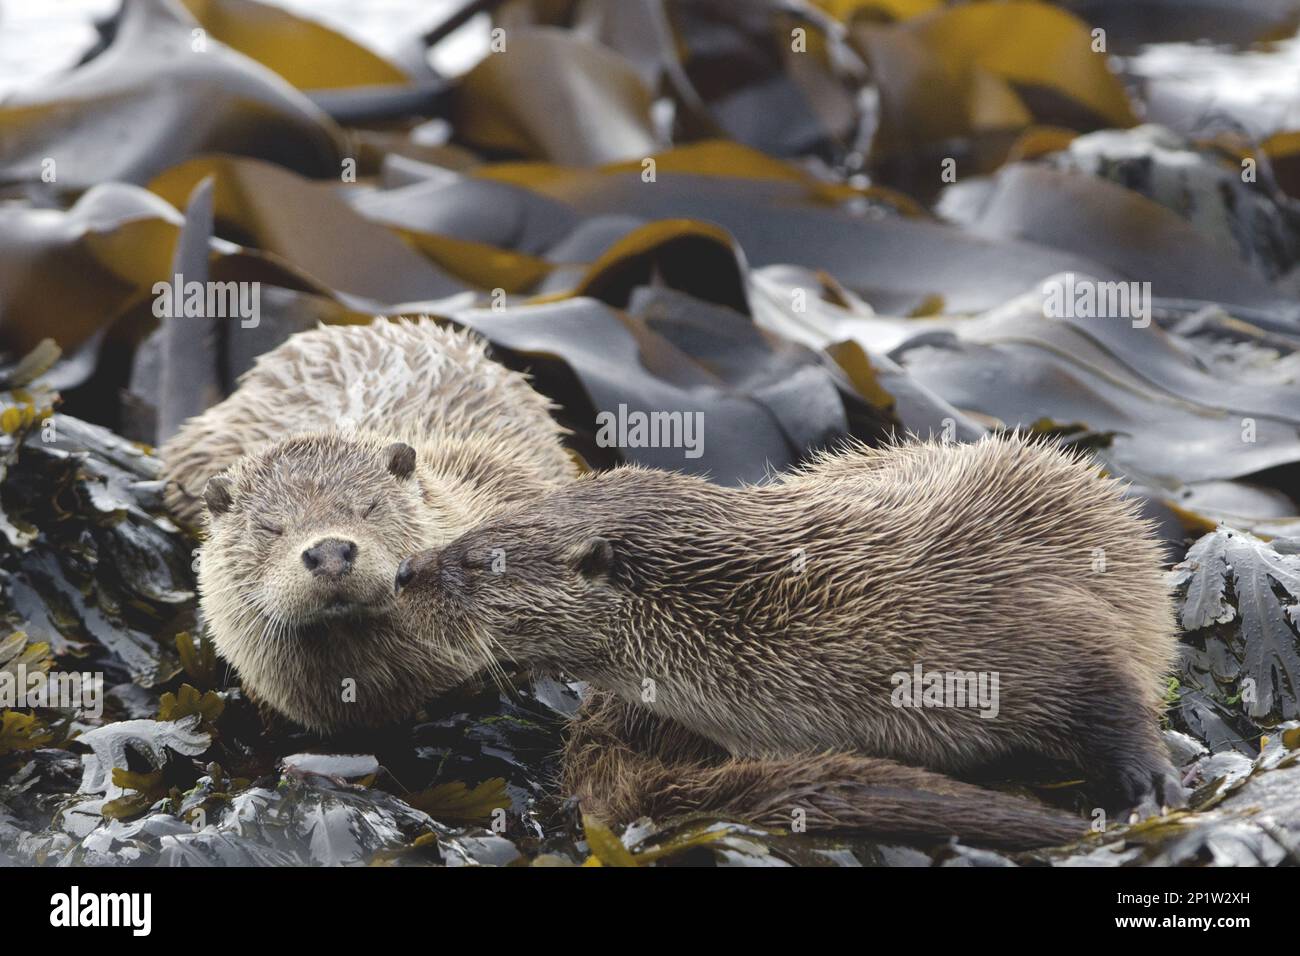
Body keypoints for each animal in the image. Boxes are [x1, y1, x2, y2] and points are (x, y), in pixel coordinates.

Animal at [395, 434, 1185, 819]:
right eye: (472, 526)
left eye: (480, 559)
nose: (405, 571)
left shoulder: (1024, 620)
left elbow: (1110, 689)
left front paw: (1149, 782)